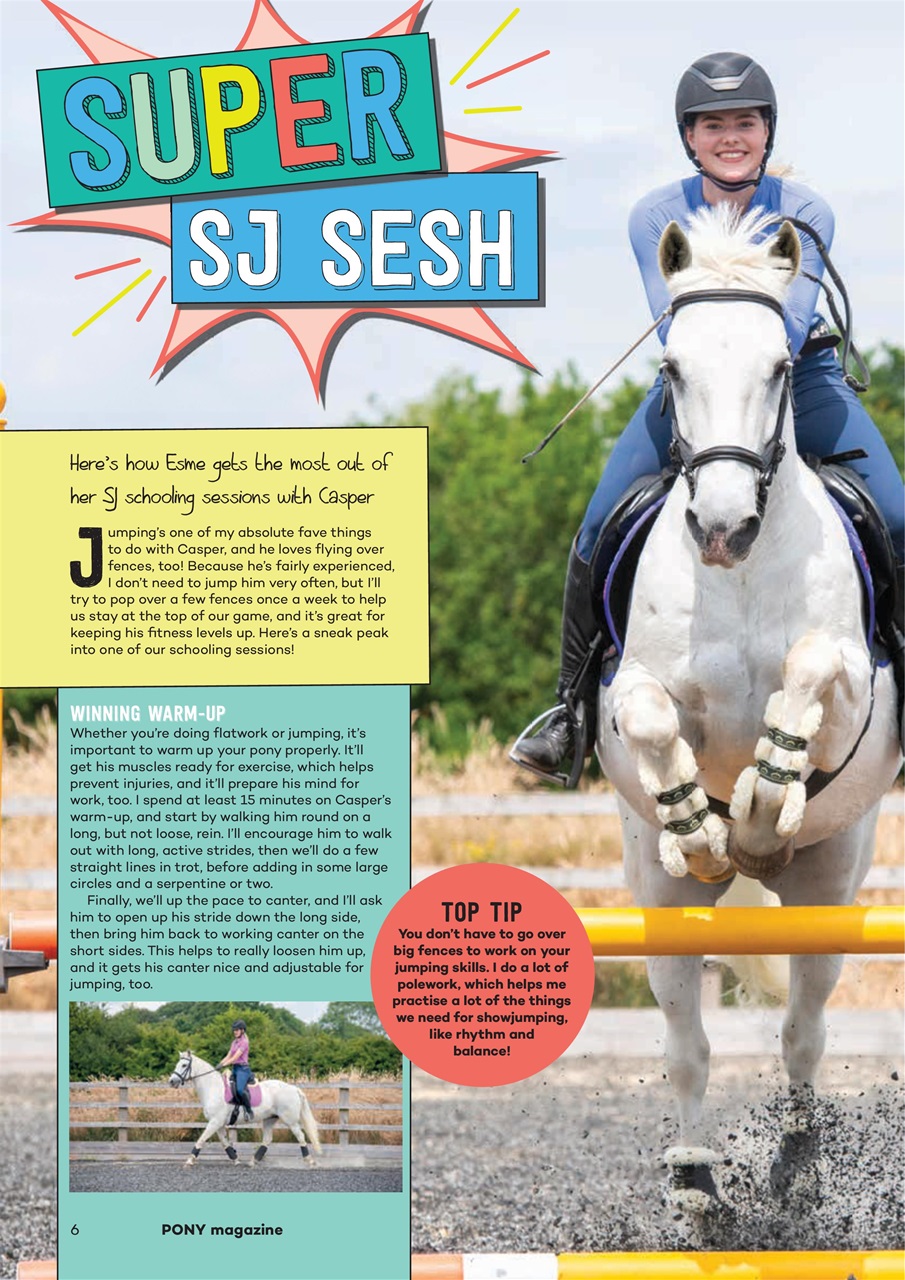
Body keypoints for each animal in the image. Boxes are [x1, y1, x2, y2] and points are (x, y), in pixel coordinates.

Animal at [168, 1050, 322, 1167]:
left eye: (184, 1065)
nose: (171, 1081)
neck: (213, 1088)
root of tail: (293, 1088)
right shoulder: (218, 1124)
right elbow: (225, 1142)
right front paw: (235, 1159)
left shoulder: (215, 1122)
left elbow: (201, 1139)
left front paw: (189, 1160)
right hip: (269, 1119)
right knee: (267, 1139)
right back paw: (253, 1161)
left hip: (290, 1121)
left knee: (300, 1136)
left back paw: (310, 1161)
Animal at [597, 205, 901, 1212]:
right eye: (670, 369)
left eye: (778, 366)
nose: (723, 530)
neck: (735, 577)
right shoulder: (633, 695)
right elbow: (654, 723)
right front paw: (701, 822)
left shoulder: (853, 696)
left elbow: (806, 673)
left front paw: (766, 799)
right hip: (656, 905)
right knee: (686, 1042)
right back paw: (694, 1176)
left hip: (830, 886)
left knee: (803, 1031)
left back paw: (798, 1167)